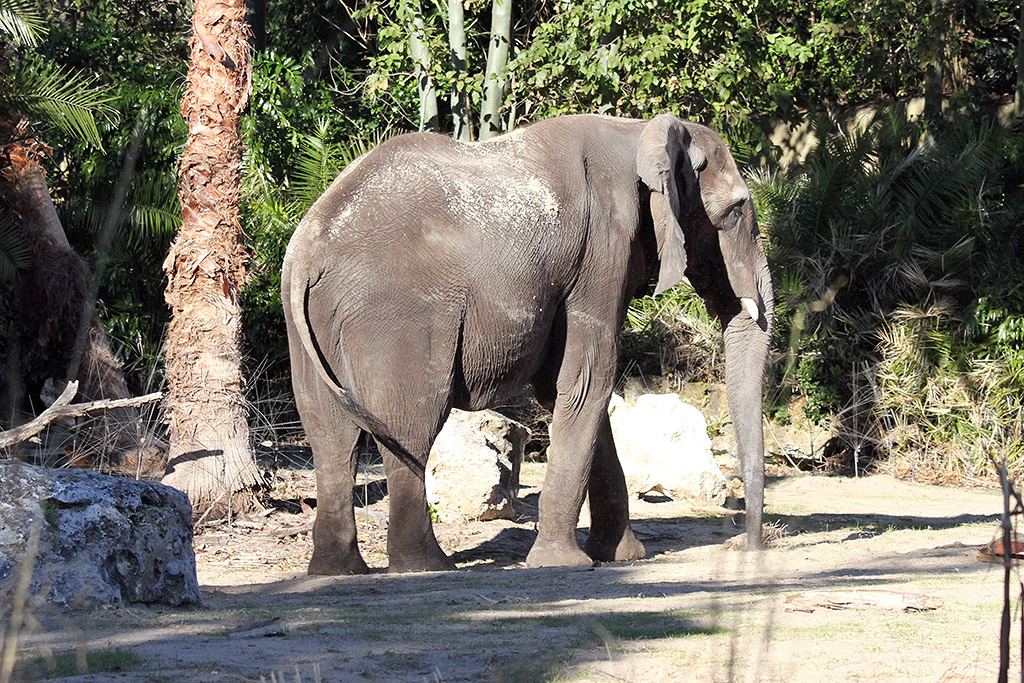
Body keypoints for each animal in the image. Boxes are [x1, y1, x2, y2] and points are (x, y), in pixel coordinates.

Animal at [281, 113, 774, 574]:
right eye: (735, 210)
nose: (747, 546)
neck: (639, 132)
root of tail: (309, 246)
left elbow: (564, 387)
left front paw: (622, 556)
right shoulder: (603, 249)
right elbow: (589, 380)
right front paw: (565, 564)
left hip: (307, 323)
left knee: (331, 436)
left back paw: (338, 570)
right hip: (397, 317)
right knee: (409, 428)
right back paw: (428, 566)